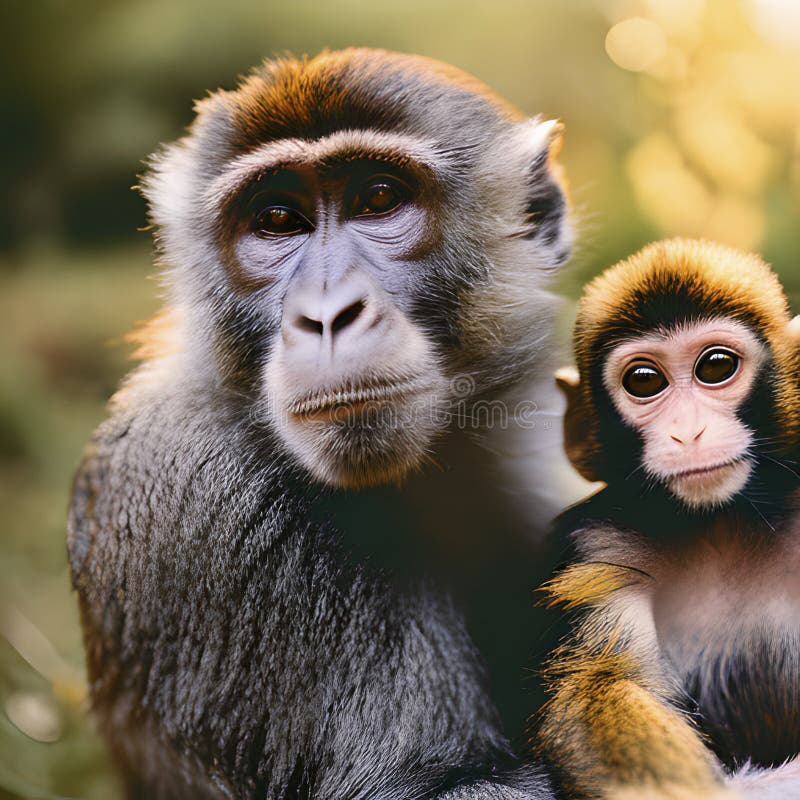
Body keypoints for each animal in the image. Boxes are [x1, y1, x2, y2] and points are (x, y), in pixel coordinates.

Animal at [534, 238, 800, 800]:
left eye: (715, 367)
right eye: (644, 381)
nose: (687, 432)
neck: (725, 522)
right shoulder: (602, 543)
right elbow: (604, 682)